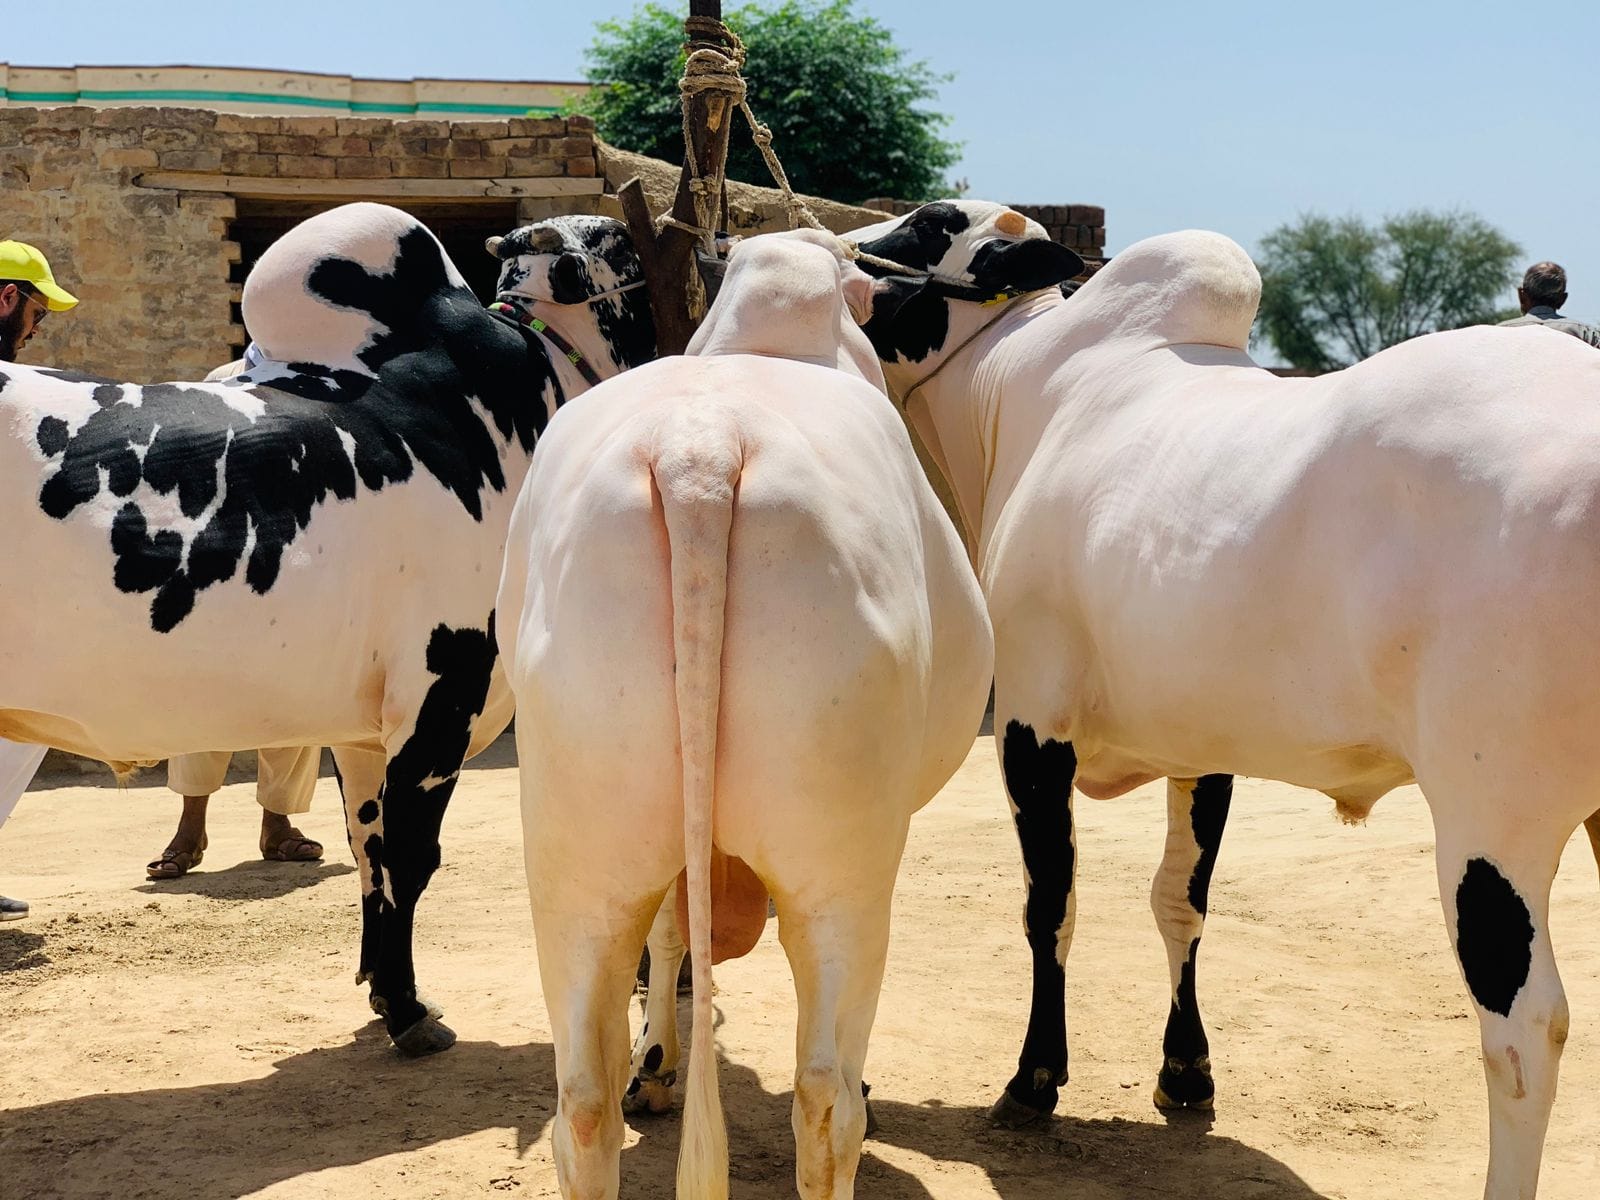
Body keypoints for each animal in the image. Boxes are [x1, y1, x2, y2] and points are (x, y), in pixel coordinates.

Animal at [0, 201, 654, 1055]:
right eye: (628, 249)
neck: (509, 412)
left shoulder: (367, 730)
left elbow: (369, 850)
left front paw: (384, 990)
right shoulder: (441, 698)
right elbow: (411, 858)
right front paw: (408, 1012)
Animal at [497, 232, 993, 1198]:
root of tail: (700, 451)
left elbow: (666, 935)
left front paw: (656, 1067)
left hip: (579, 849)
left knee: (583, 1100)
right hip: (840, 863)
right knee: (826, 1098)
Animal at [841, 198, 1600, 1198]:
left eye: (929, 226)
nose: (835, 250)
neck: (1027, 391)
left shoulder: (1031, 723)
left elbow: (1052, 906)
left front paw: (1035, 1080)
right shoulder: (1204, 746)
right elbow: (1181, 902)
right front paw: (1185, 1071)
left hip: (1495, 813)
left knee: (1525, 1031)